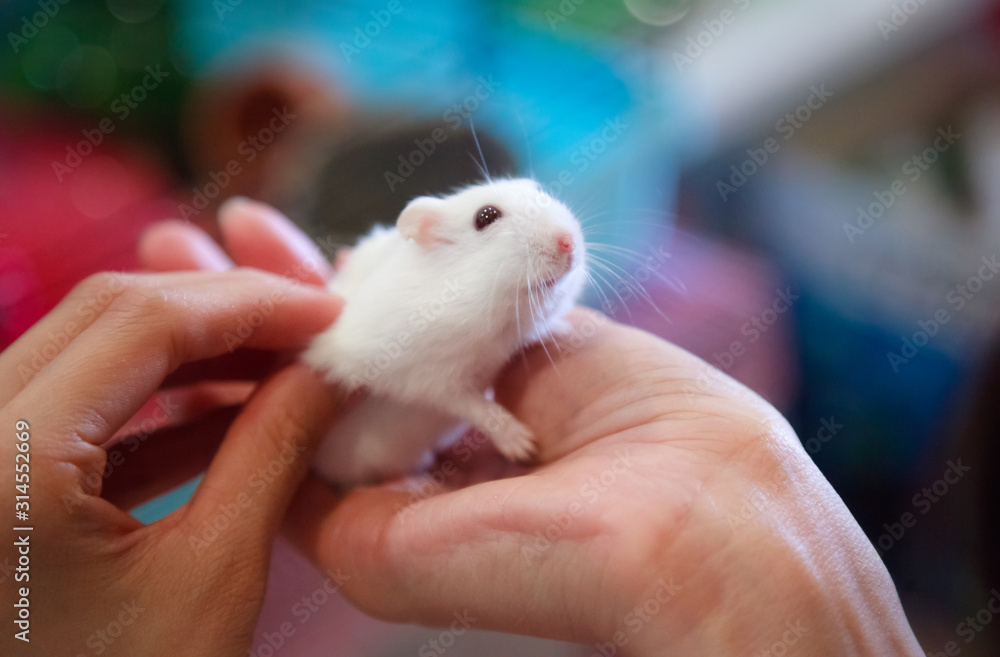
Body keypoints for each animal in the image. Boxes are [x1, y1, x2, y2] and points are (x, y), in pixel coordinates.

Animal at [303, 178, 586, 486]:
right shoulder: (431, 380)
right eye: (486, 216)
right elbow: (476, 408)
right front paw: (525, 447)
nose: (569, 241)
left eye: (541, 192)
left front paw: (567, 329)